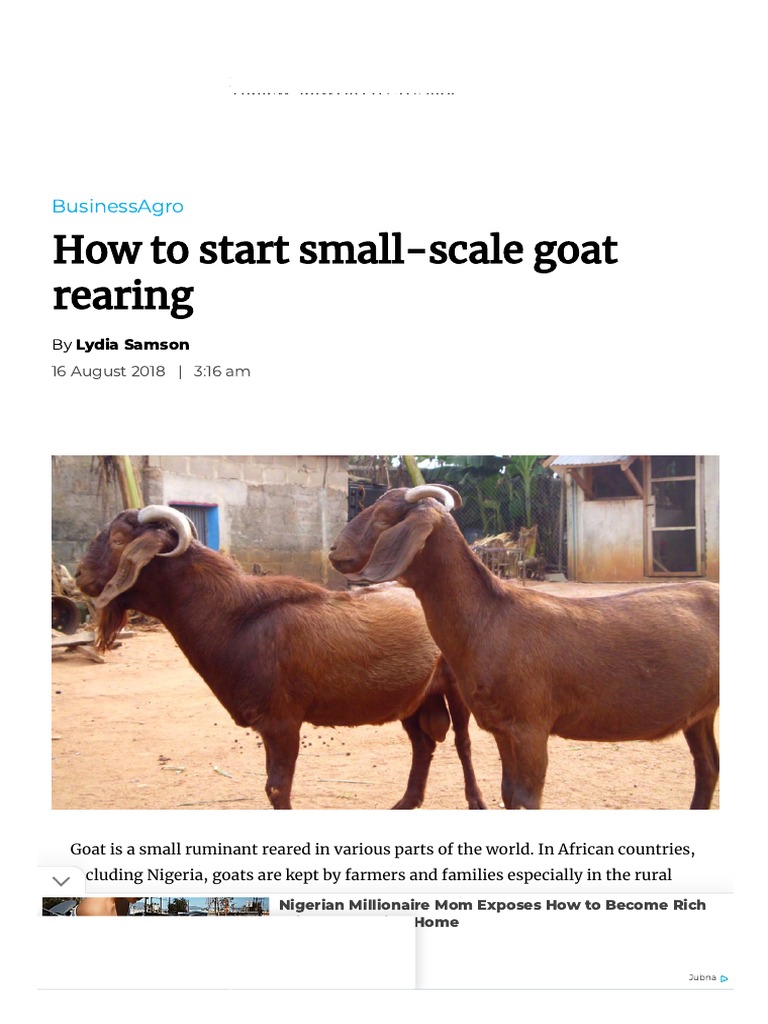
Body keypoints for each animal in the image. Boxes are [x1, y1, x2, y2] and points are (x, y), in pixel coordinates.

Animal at [75, 505, 485, 810]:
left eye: (117, 539)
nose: (79, 576)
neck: (235, 618)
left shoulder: (282, 721)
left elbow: (277, 789)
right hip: (413, 698)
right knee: (423, 744)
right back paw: (406, 802)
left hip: (455, 687)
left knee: (463, 743)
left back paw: (475, 802)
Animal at [329, 485, 720, 810]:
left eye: (383, 517)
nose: (334, 550)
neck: (492, 620)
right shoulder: (503, 728)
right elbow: (508, 794)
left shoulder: (532, 727)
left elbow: (527, 799)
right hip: (700, 713)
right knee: (708, 766)